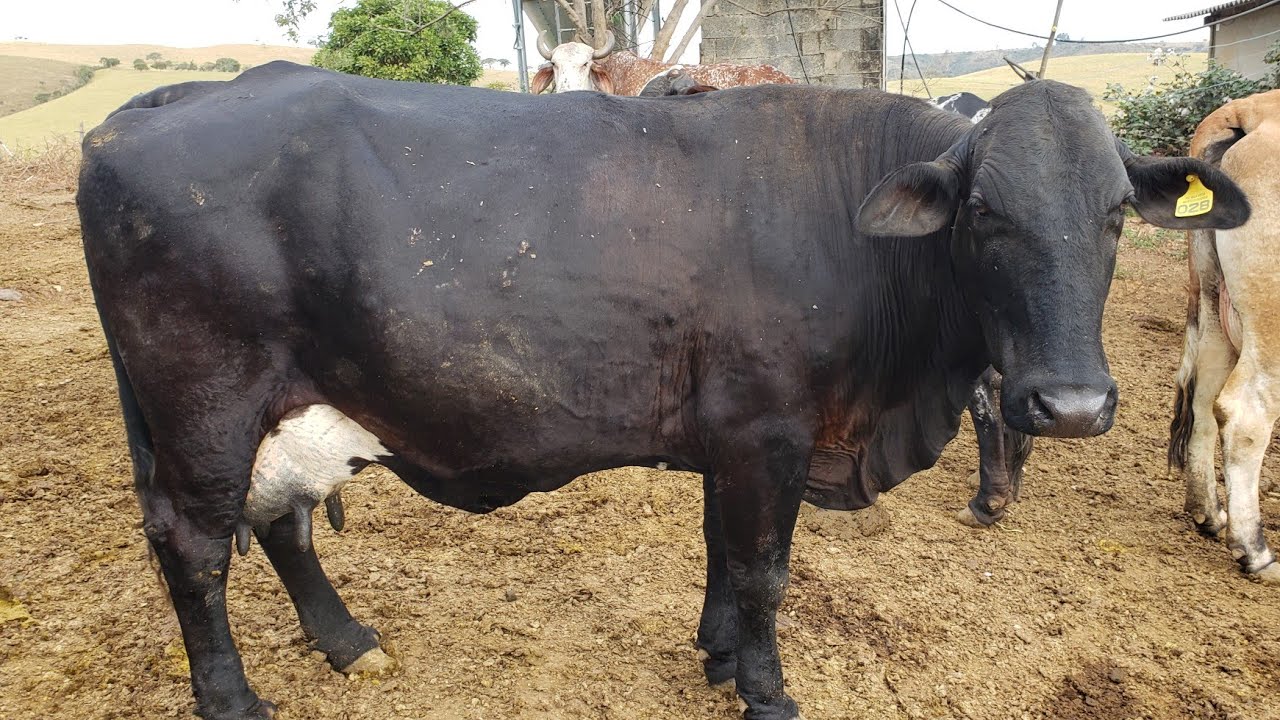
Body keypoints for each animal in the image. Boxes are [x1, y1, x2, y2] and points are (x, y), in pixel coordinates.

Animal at [78, 61, 1249, 720]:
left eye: (1113, 212)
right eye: (983, 214)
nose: (1071, 406)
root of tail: (161, 104)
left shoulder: (728, 433)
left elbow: (723, 555)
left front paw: (719, 656)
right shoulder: (768, 428)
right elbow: (766, 570)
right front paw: (767, 691)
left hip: (290, 404)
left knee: (279, 521)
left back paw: (348, 642)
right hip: (206, 405)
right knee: (194, 545)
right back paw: (232, 699)